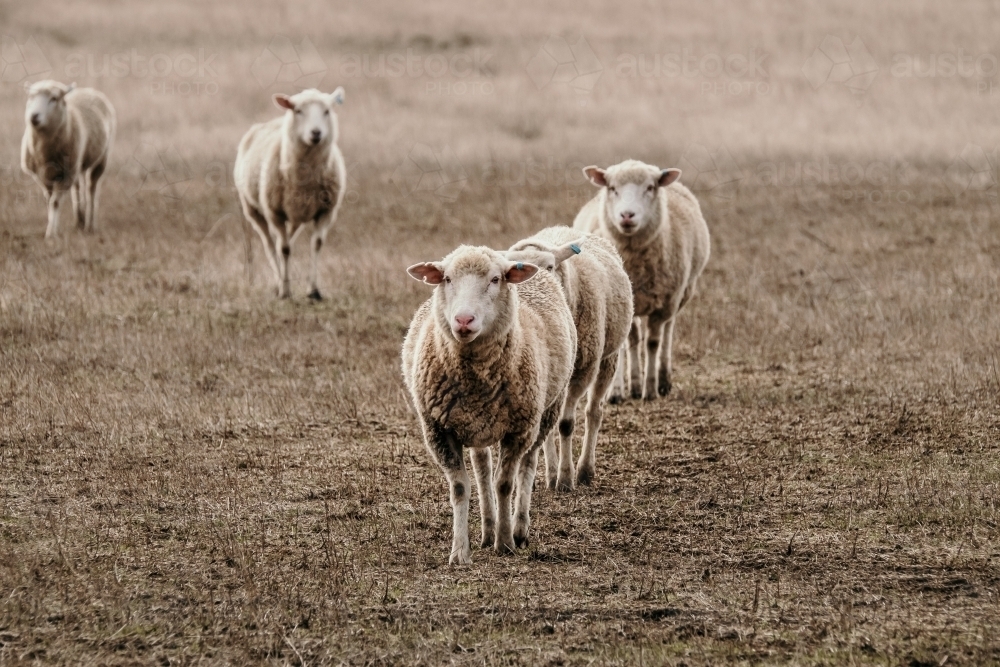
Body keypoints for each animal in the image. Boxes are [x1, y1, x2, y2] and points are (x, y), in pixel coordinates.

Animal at [21, 80, 116, 238]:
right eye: (31, 97)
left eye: (54, 98)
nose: (34, 117)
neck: (44, 151)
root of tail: (88, 90)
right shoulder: (42, 176)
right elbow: (49, 200)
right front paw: (53, 227)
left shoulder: (65, 175)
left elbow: (55, 202)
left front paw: (51, 233)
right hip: (76, 163)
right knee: (78, 187)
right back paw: (79, 220)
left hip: (100, 159)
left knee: (91, 189)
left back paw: (90, 224)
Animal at [234, 87, 346, 299]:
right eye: (298, 111)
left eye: (327, 111)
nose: (316, 133)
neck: (305, 178)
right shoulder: (274, 212)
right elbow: (284, 249)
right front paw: (285, 291)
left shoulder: (326, 211)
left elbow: (316, 244)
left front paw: (313, 291)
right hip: (253, 209)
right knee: (271, 245)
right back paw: (278, 283)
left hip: (296, 215)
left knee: (286, 239)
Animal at [401, 245, 577, 564]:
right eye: (446, 278)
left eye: (496, 279)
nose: (463, 320)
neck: (474, 377)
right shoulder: (439, 430)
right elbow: (461, 488)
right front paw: (460, 551)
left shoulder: (518, 430)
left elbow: (505, 484)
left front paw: (505, 542)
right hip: (476, 425)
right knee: (483, 469)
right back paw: (487, 528)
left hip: (544, 413)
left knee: (527, 465)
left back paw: (518, 529)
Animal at [504, 226, 633, 491]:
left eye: (550, 266)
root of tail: (565, 228)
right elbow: (548, 430)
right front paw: (550, 475)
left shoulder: (584, 369)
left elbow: (566, 424)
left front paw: (565, 478)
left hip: (607, 357)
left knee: (594, 412)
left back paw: (585, 470)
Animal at [574, 159, 710, 400]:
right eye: (612, 188)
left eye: (650, 187)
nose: (627, 215)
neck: (634, 261)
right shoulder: (622, 304)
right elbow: (626, 343)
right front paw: (618, 391)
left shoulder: (664, 303)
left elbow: (653, 343)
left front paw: (651, 389)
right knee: (634, 338)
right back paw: (634, 385)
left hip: (681, 293)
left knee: (667, 332)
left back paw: (663, 381)